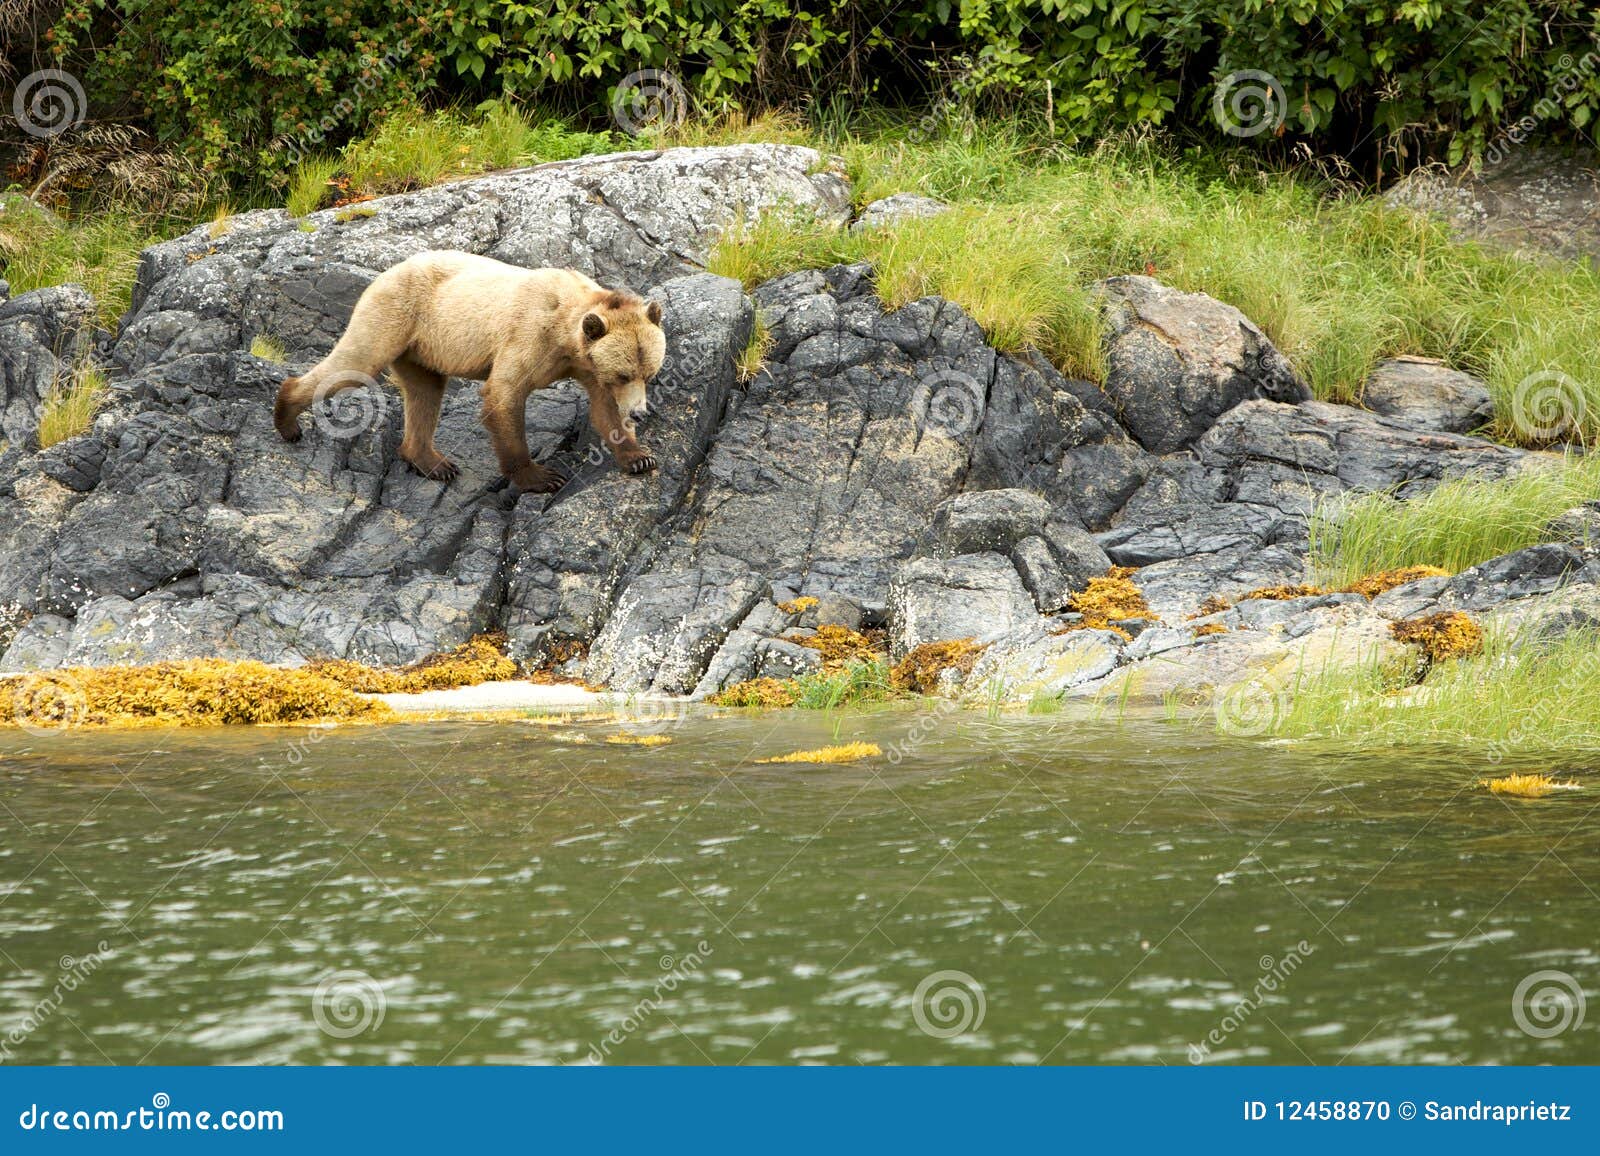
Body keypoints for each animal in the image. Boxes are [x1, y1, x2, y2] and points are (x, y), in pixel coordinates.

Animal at [273, 250, 666, 492]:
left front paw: (639, 457)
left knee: (424, 394)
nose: (640, 412)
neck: (566, 335)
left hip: (422, 350)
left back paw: (432, 461)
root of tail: (387, 271)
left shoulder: (587, 367)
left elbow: (605, 410)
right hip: (394, 314)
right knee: (354, 362)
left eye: (648, 374)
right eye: (623, 374)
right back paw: (287, 417)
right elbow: (504, 394)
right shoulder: (529, 337)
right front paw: (541, 477)